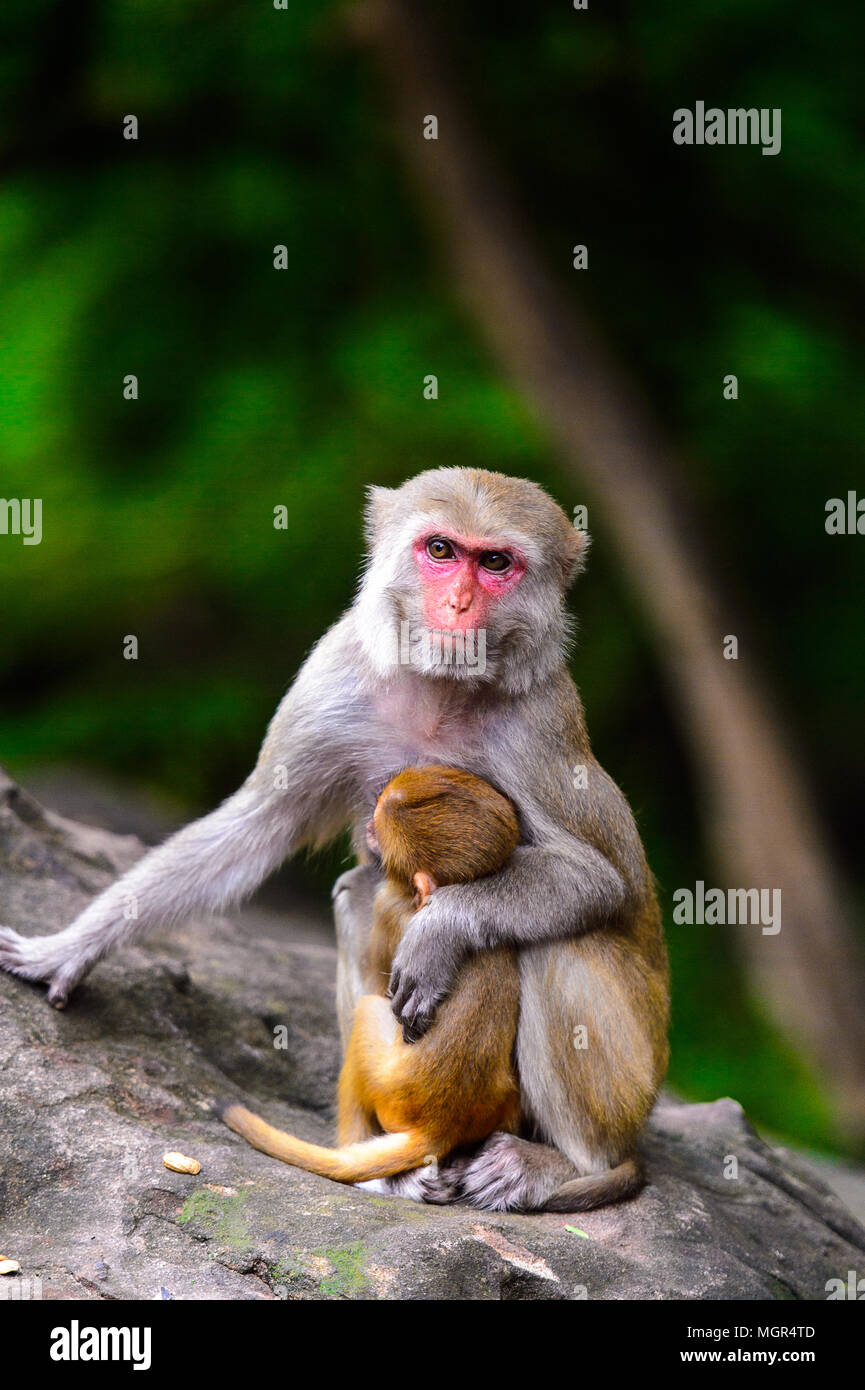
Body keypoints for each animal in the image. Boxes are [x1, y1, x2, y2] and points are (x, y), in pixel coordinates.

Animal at [219, 765, 523, 1185]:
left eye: (379, 831)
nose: (366, 825)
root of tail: (438, 1127)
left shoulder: (388, 905)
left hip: (390, 1089)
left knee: (367, 1010)